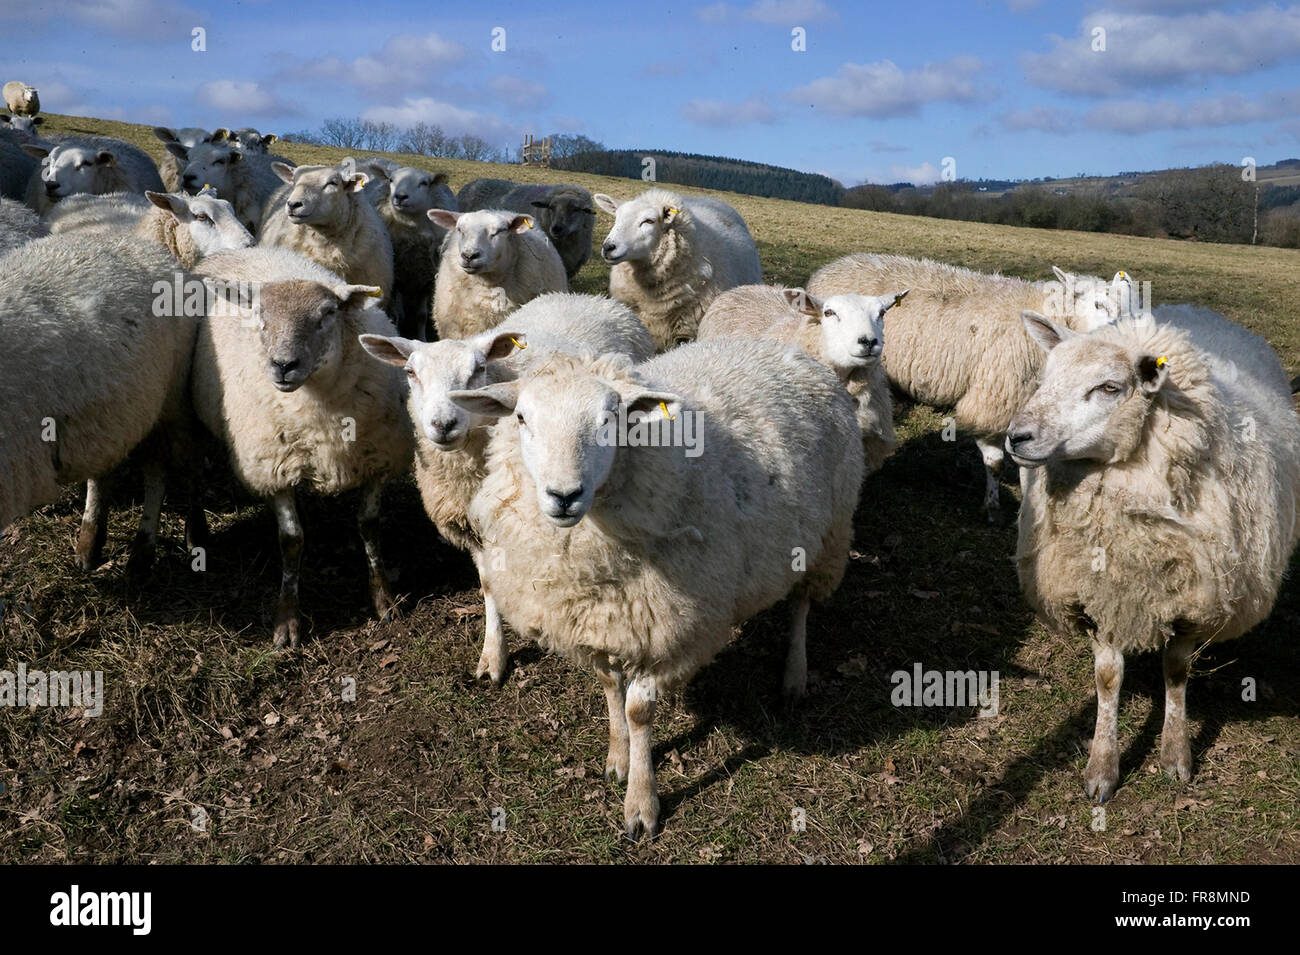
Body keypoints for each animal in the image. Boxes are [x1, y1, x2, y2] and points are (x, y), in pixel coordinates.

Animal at [0, 232, 198, 573]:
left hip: (171, 400)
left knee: (168, 470)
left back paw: (159, 547)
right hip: (111, 411)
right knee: (105, 471)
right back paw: (90, 541)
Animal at [191, 246, 414, 647]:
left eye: (327, 314)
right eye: (260, 315)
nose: (283, 365)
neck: (319, 403)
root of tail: (234, 250)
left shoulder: (380, 456)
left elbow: (369, 524)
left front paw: (384, 598)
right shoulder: (273, 467)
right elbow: (292, 539)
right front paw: (287, 619)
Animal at [359, 292, 655, 683]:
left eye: (478, 369)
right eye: (411, 373)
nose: (443, 424)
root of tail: (581, 295)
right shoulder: (472, 523)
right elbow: (489, 585)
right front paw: (493, 655)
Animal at [449, 337, 863, 836]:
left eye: (610, 418)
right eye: (523, 418)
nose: (563, 495)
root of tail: (788, 351)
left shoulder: (674, 630)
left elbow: (638, 711)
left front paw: (641, 802)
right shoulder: (598, 618)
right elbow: (609, 686)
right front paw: (618, 756)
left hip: (828, 533)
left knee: (802, 605)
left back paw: (794, 675)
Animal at [1008, 307, 1300, 802]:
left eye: (1109, 387)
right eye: (1044, 378)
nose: (1016, 437)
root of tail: (1196, 311)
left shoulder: (1196, 599)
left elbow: (1177, 670)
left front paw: (1175, 755)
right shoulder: (1099, 592)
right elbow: (1108, 678)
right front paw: (1102, 768)